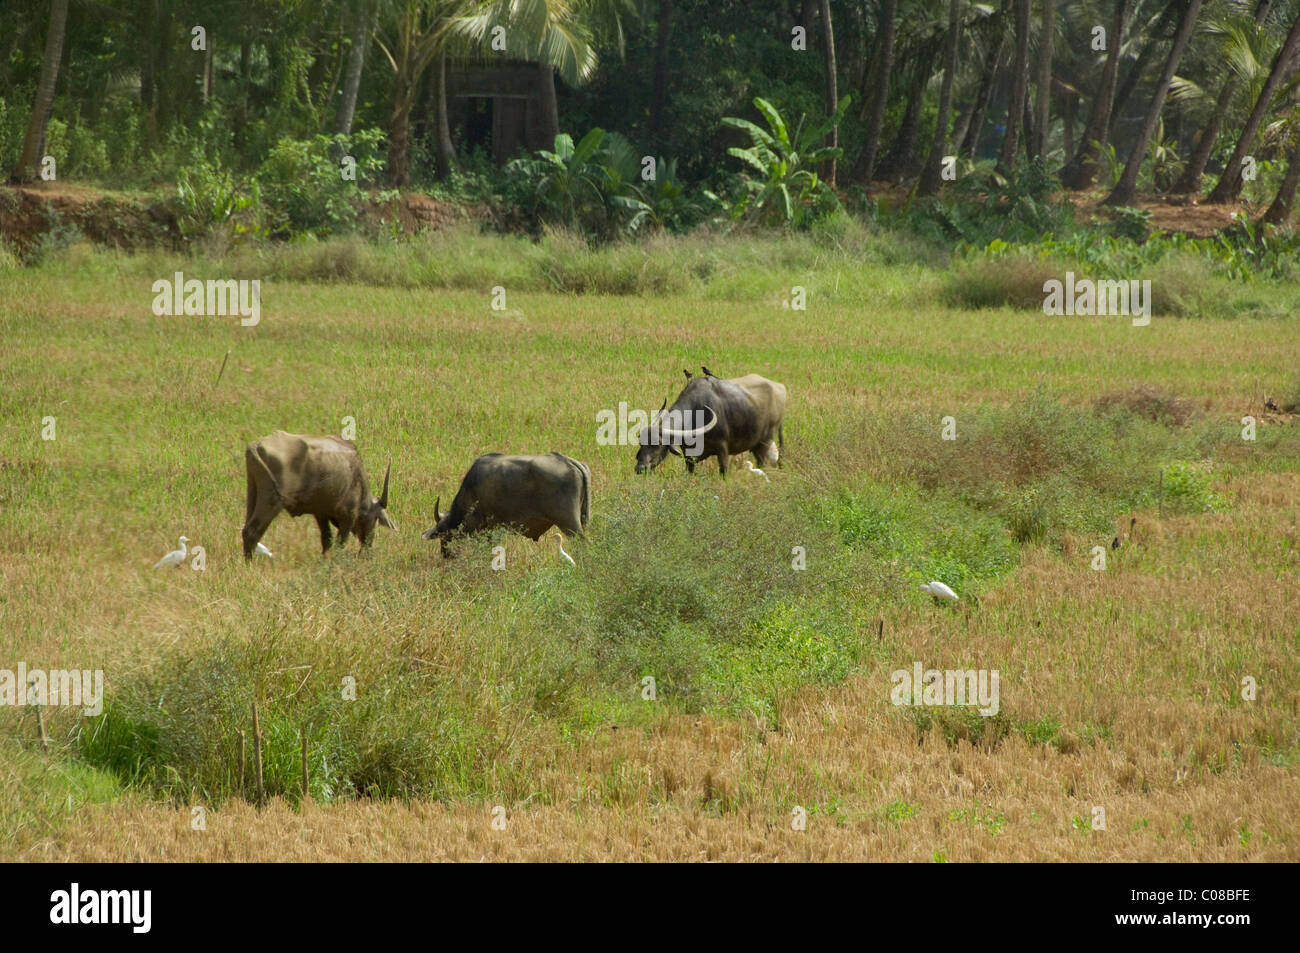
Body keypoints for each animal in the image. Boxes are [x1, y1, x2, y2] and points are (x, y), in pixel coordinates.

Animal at [242, 431, 395, 559]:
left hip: (253, 491)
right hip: (272, 501)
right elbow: (340, 544)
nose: (367, 547)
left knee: (245, 531)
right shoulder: (348, 516)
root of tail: (255, 446)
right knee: (252, 533)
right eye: (376, 519)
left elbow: (326, 540)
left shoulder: (321, 513)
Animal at [636, 370, 786, 476]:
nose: (640, 468)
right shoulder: (688, 455)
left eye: (658, 444)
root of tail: (779, 387)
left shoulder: (723, 449)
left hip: (765, 442)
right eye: (641, 443)